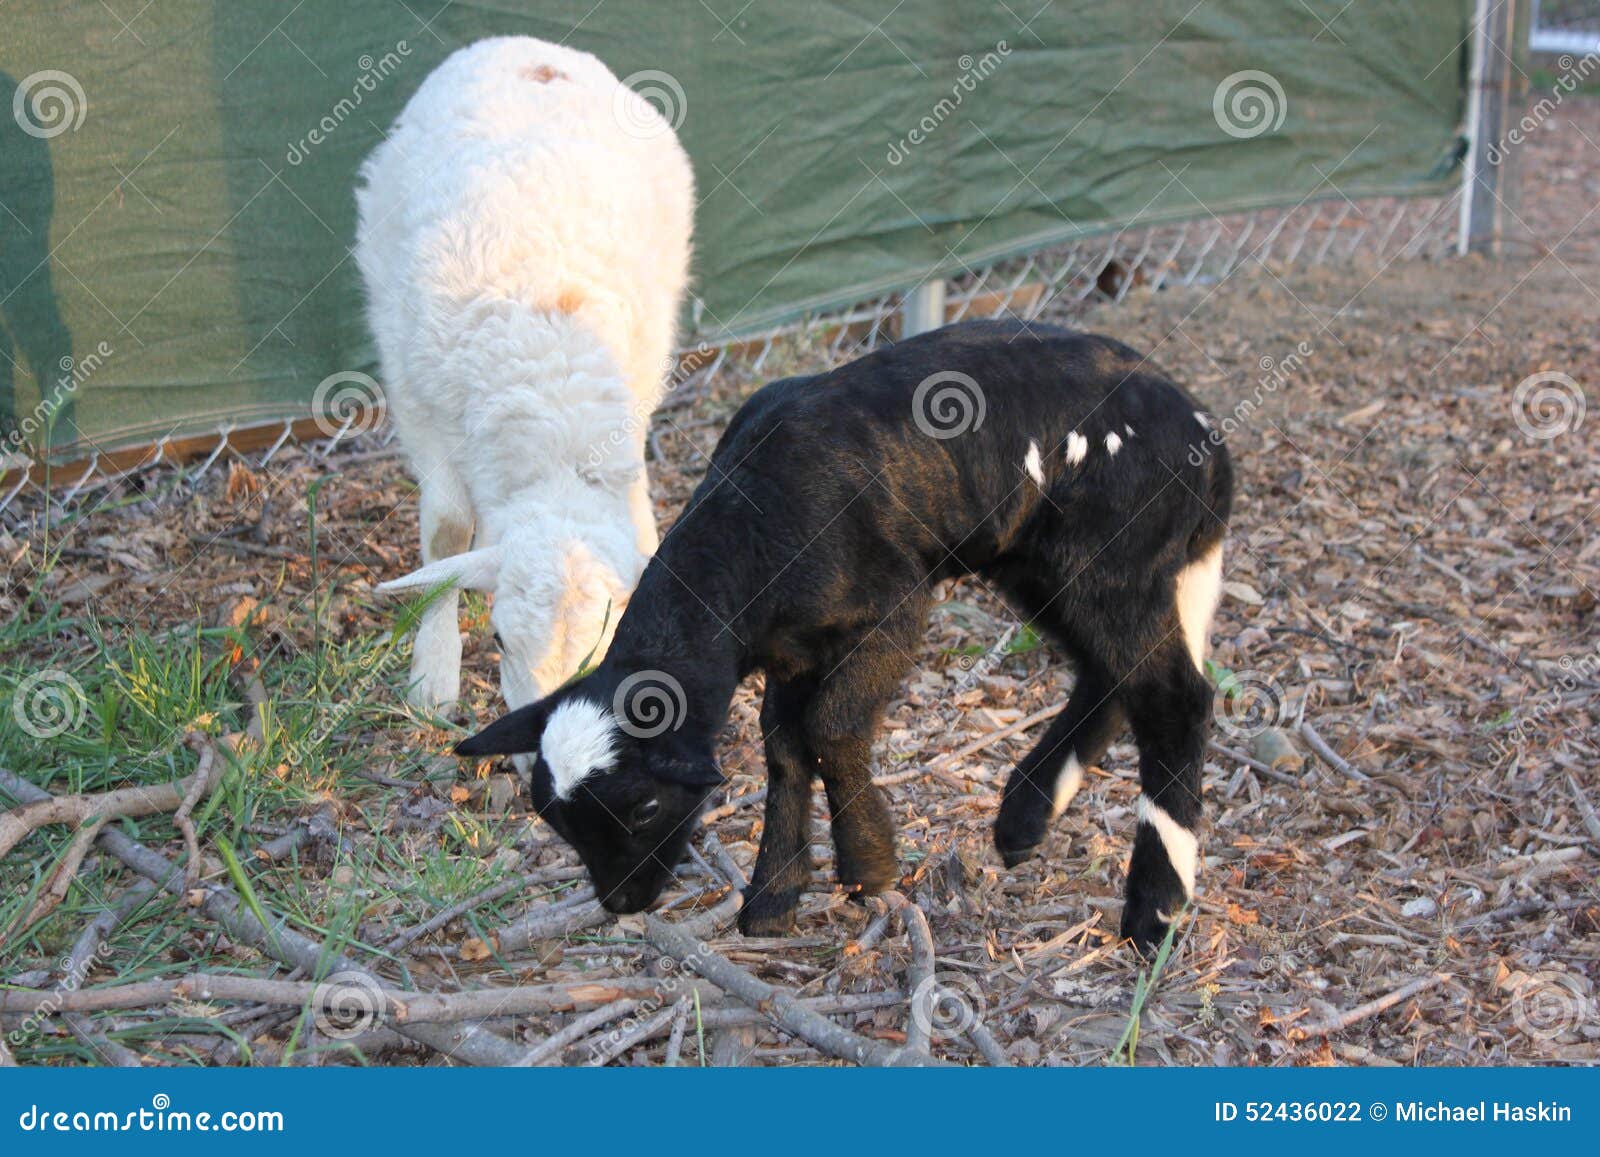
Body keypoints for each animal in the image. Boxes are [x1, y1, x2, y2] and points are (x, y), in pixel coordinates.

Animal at [353, 37, 694, 711]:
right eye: (501, 640)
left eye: (602, 654)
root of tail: (529, 48)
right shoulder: (418, 404)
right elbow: (447, 532)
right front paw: (433, 673)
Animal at [455, 320, 1234, 952]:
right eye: (553, 818)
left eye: (645, 805)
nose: (621, 902)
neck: (753, 527)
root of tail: (1205, 436)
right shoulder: (794, 648)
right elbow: (782, 743)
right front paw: (774, 897)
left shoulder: (894, 607)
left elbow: (830, 724)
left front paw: (868, 869)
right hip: (1038, 561)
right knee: (1110, 674)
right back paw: (1024, 818)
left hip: (1113, 557)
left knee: (1174, 695)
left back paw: (1154, 910)